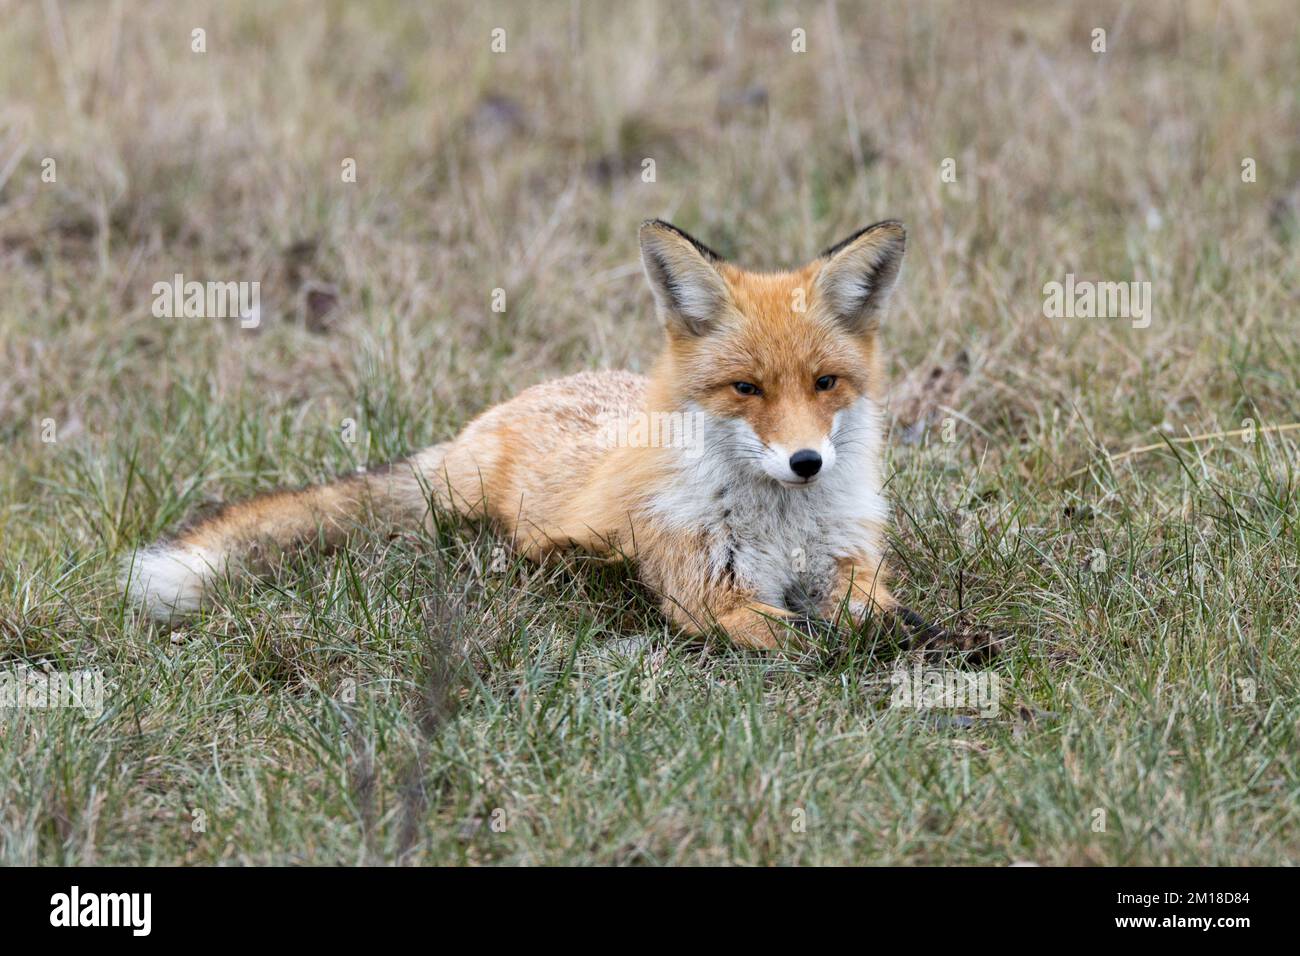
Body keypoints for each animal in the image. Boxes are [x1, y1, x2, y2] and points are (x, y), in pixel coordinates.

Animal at [124, 218, 984, 654]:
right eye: (747, 390)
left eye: (825, 383)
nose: (807, 462)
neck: (785, 526)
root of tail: (491, 417)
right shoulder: (713, 595)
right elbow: (815, 642)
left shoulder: (848, 570)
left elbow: (883, 614)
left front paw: (942, 638)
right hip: (474, 517)